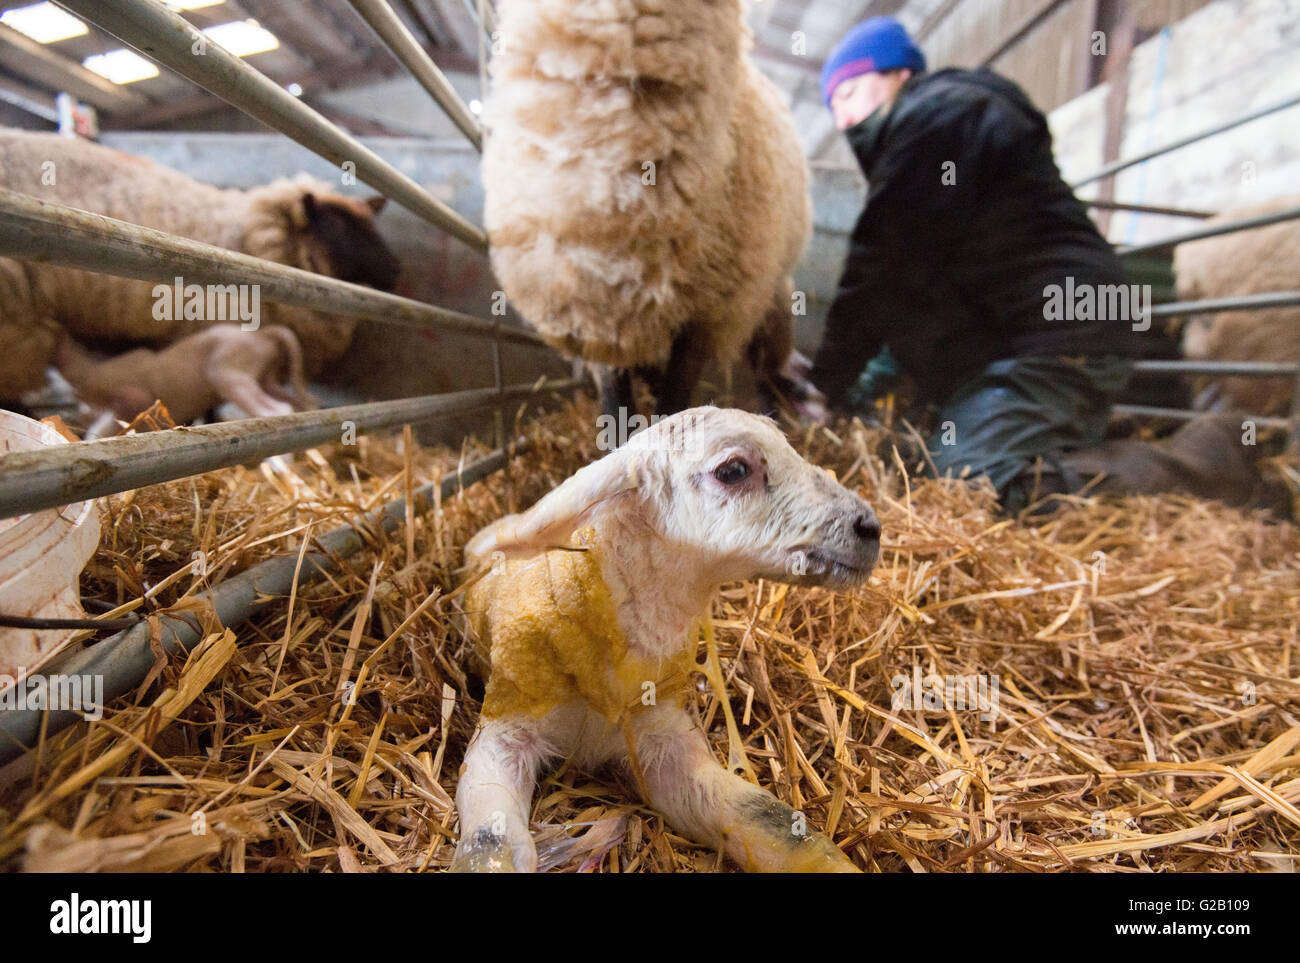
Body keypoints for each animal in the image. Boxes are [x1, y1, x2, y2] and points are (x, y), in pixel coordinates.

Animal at [453, 406, 880, 872]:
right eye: (733, 470)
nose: (871, 527)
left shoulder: (665, 742)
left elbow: (773, 821)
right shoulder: (505, 730)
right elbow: (488, 841)